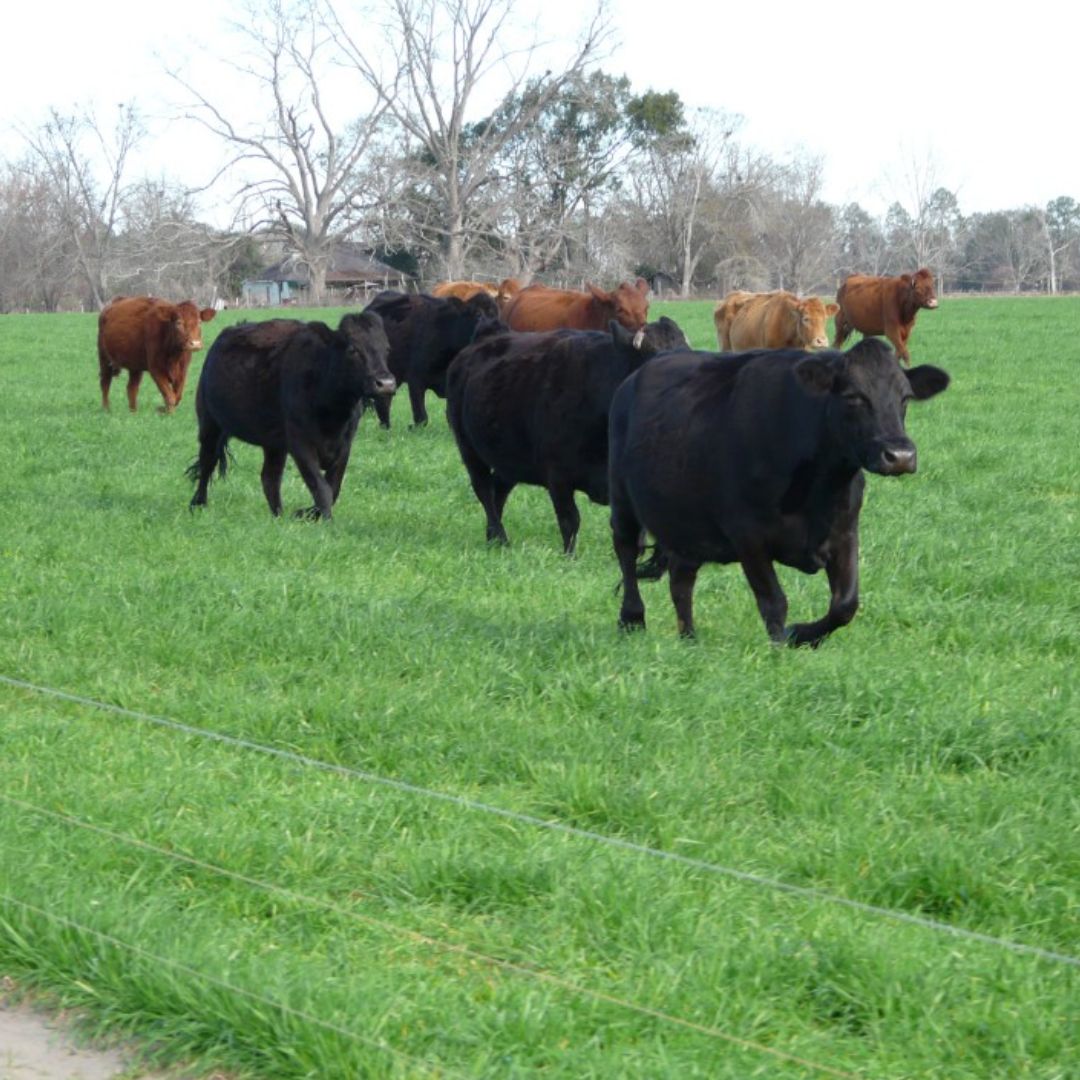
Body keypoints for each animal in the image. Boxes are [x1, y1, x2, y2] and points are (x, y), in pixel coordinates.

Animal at [187, 312, 395, 520]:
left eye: (386, 348)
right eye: (353, 349)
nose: (385, 383)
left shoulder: (345, 444)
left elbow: (333, 487)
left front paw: (308, 513)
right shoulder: (300, 442)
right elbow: (322, 488)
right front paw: (326, 520)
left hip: (273, 444)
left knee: (269, 478)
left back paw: (278, 516)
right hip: (210, 424)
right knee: (207, 463)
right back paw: (198, 504)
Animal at [363, 289, 500, 428]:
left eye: (497, 316)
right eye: (477, 314)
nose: (493, 332)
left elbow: (450, 417)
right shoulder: (415, 379)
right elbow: (422, 418)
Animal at [446, 316, 690, 553]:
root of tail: (487, 335)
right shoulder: (557, 475)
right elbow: (570, 520)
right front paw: (569, 556)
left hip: (510, 459)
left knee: (499, 489)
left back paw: (493, 539)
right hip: (467, 447)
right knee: (484, 489)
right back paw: (501, 537)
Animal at [608, 337, 949, 645]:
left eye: (905, 397)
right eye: (853, 396)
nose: (900, 455)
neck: (817, 491)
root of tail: (632, 380)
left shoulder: (845, 532)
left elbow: (845, 605)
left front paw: (803, 634)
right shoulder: (747, 535)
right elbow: (774, 602)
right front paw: (782, 646)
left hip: (688, 524)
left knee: (681, 578)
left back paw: (689, 638)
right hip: (623, 500)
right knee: (626, 552)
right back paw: (632, 619)